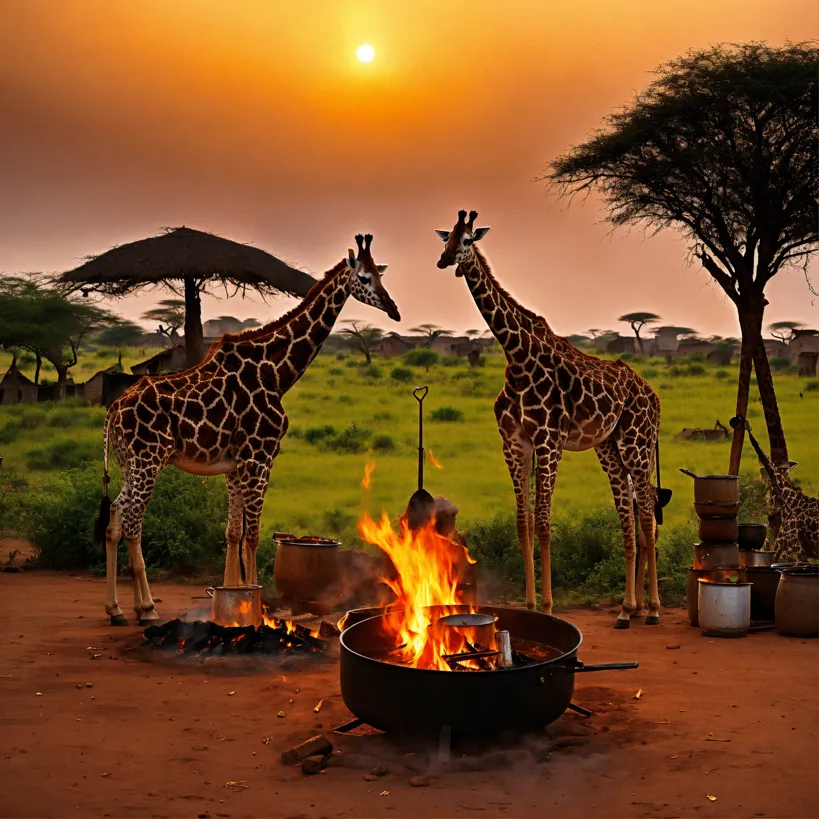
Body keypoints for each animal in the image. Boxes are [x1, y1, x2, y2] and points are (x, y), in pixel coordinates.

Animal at [95, 234, 400, 626]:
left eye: (380, 273)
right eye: (363, 277)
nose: (393, 309)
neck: (277, 371)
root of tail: (113, 411)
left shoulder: (235, 465)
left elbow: (233, 532)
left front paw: (232, 596)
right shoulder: (260, 457)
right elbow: (253, 535)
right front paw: (253, 605)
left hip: (128, 463)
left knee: (115, 518)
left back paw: (117, 608)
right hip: (149, 460)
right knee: (134, 522)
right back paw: (146, 608)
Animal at [435, 210, 667, 627]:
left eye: (468, 240)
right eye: (446, 239)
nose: (445, 261)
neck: (517, 356)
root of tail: (653, 397)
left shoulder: (548, 440)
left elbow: (544, 523)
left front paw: (546, 606)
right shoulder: (514, 443)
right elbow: (523, 523)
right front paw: (529, 605)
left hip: (638, 445)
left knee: (647, 518)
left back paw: (653, 608)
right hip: (610, 449)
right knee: (630, 519)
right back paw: (628, 609)